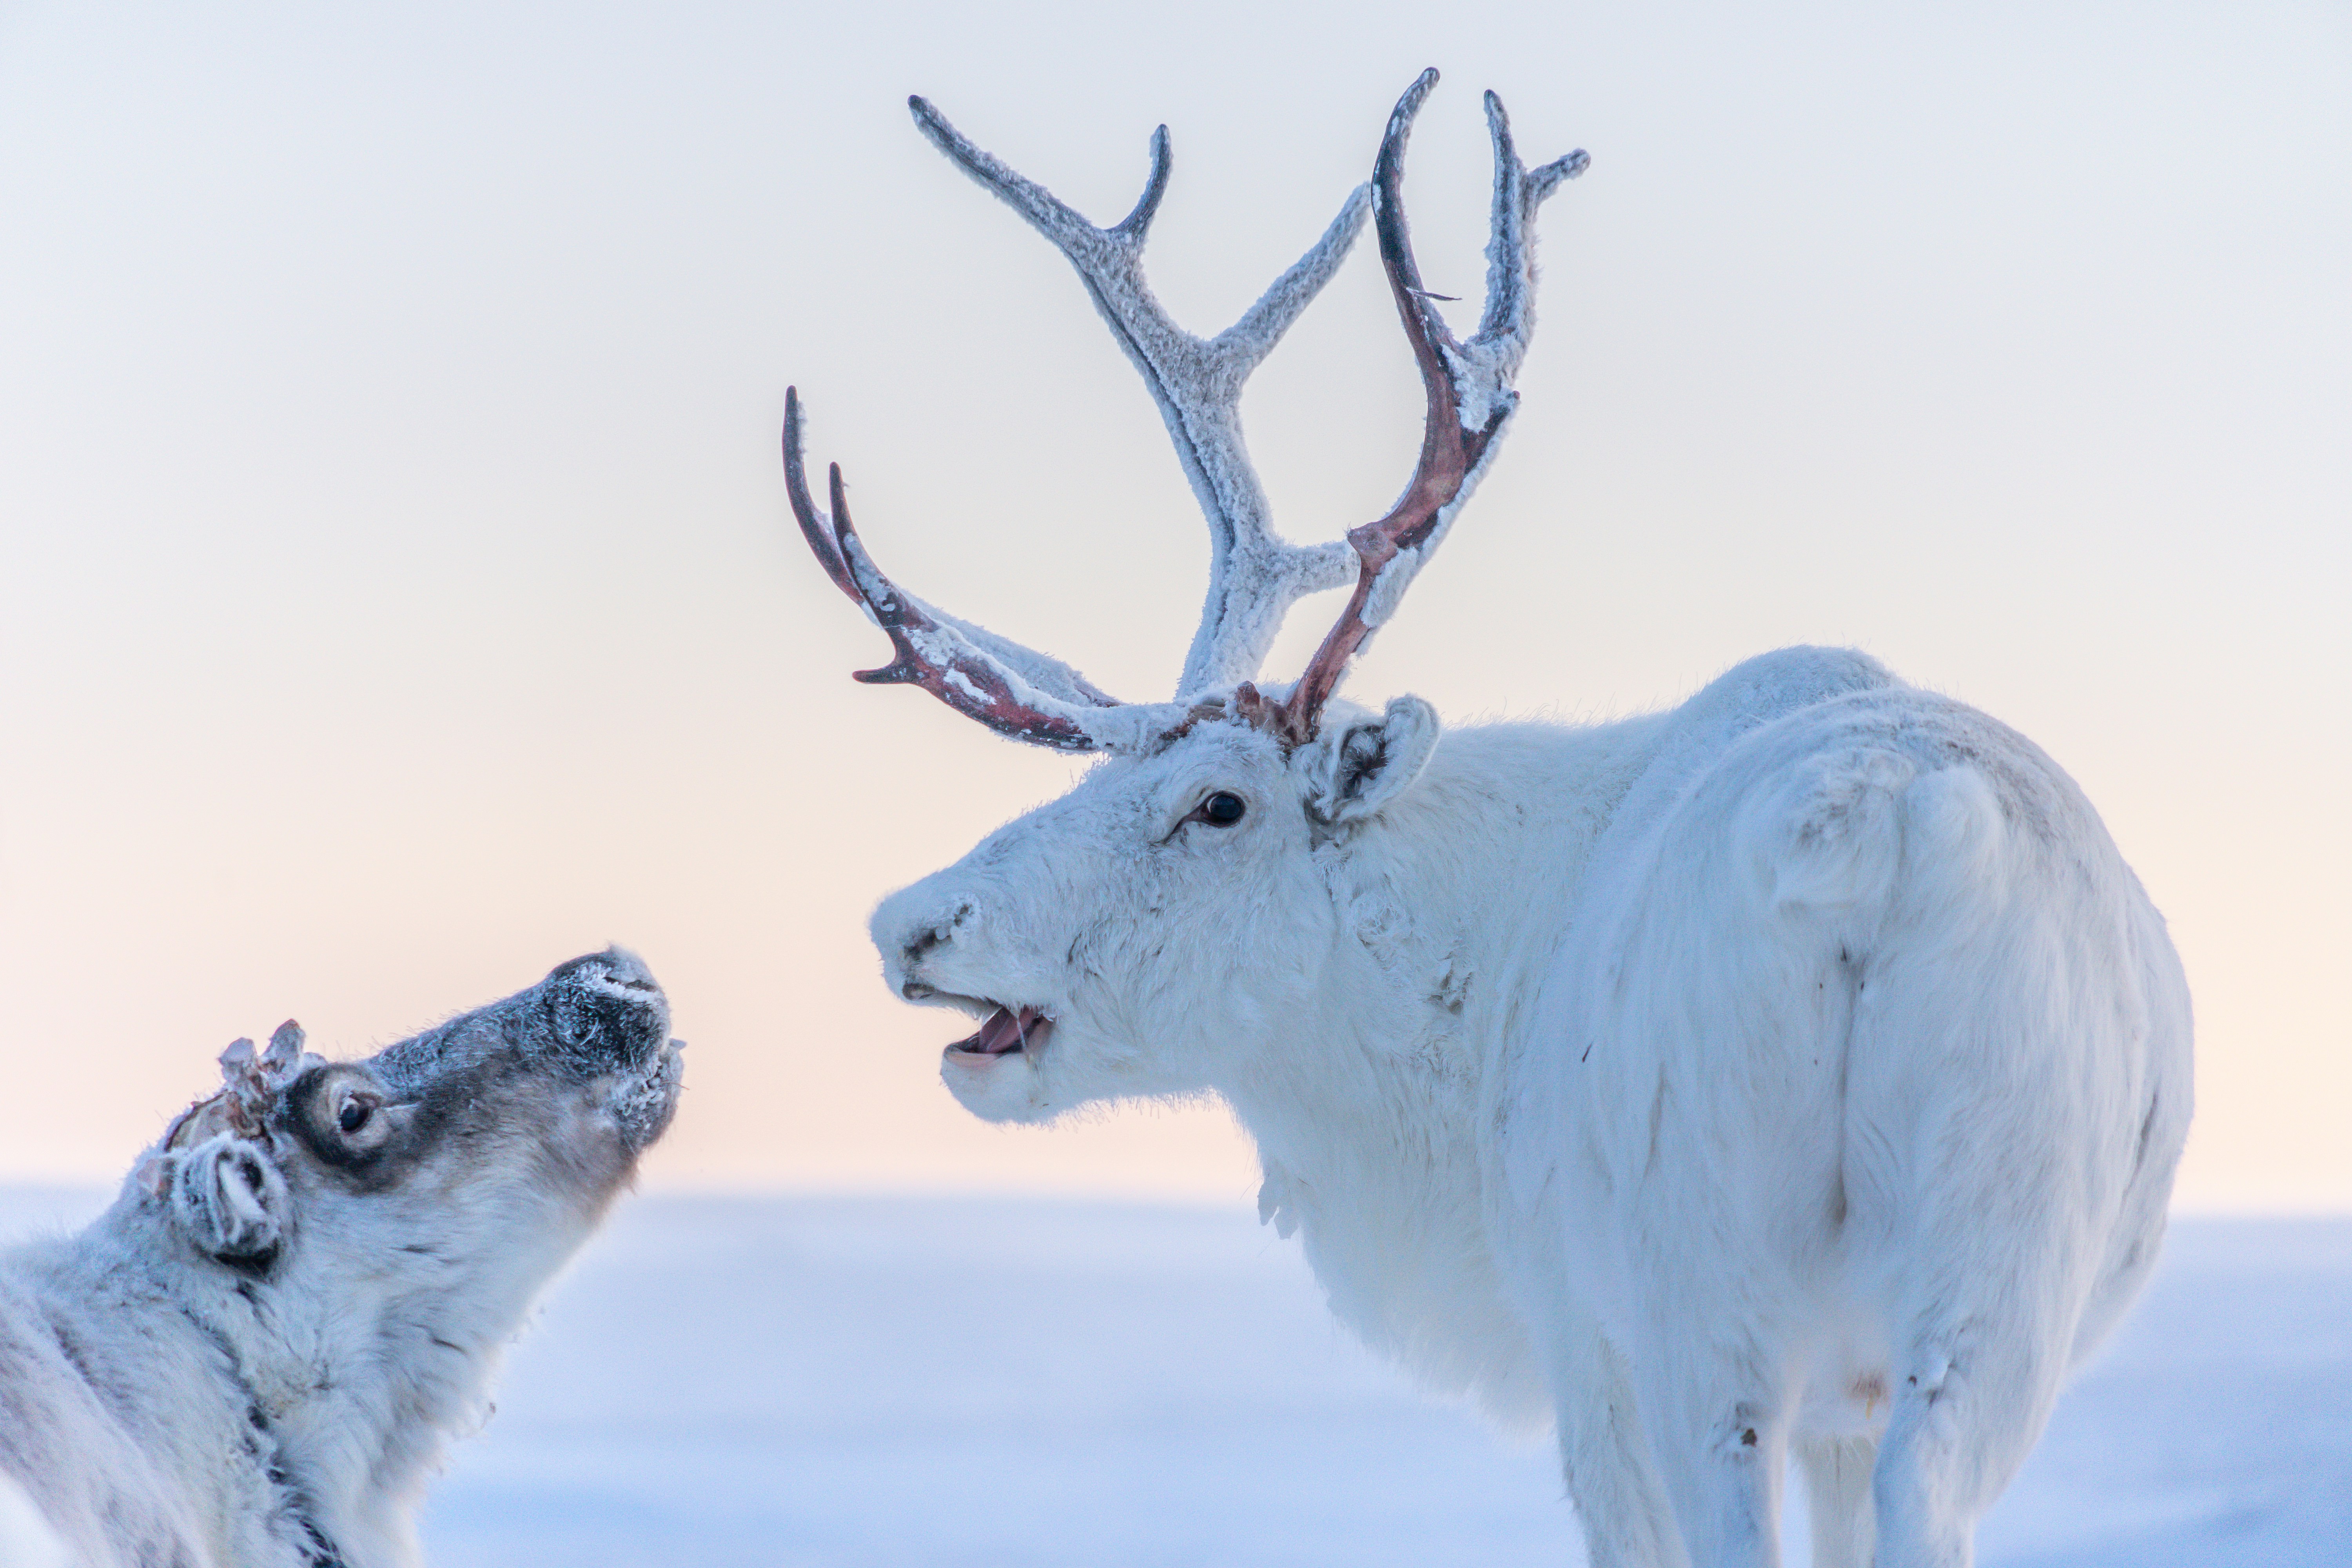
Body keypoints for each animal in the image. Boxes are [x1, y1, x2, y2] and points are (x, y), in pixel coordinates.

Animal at [781, 72, 2194, 1568]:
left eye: (1218, 804)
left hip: (1704, 1295)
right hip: (1988, 1283)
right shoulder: (1842, 1408)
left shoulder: (1581, 1336)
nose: (912, 922)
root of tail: (1883, 831)